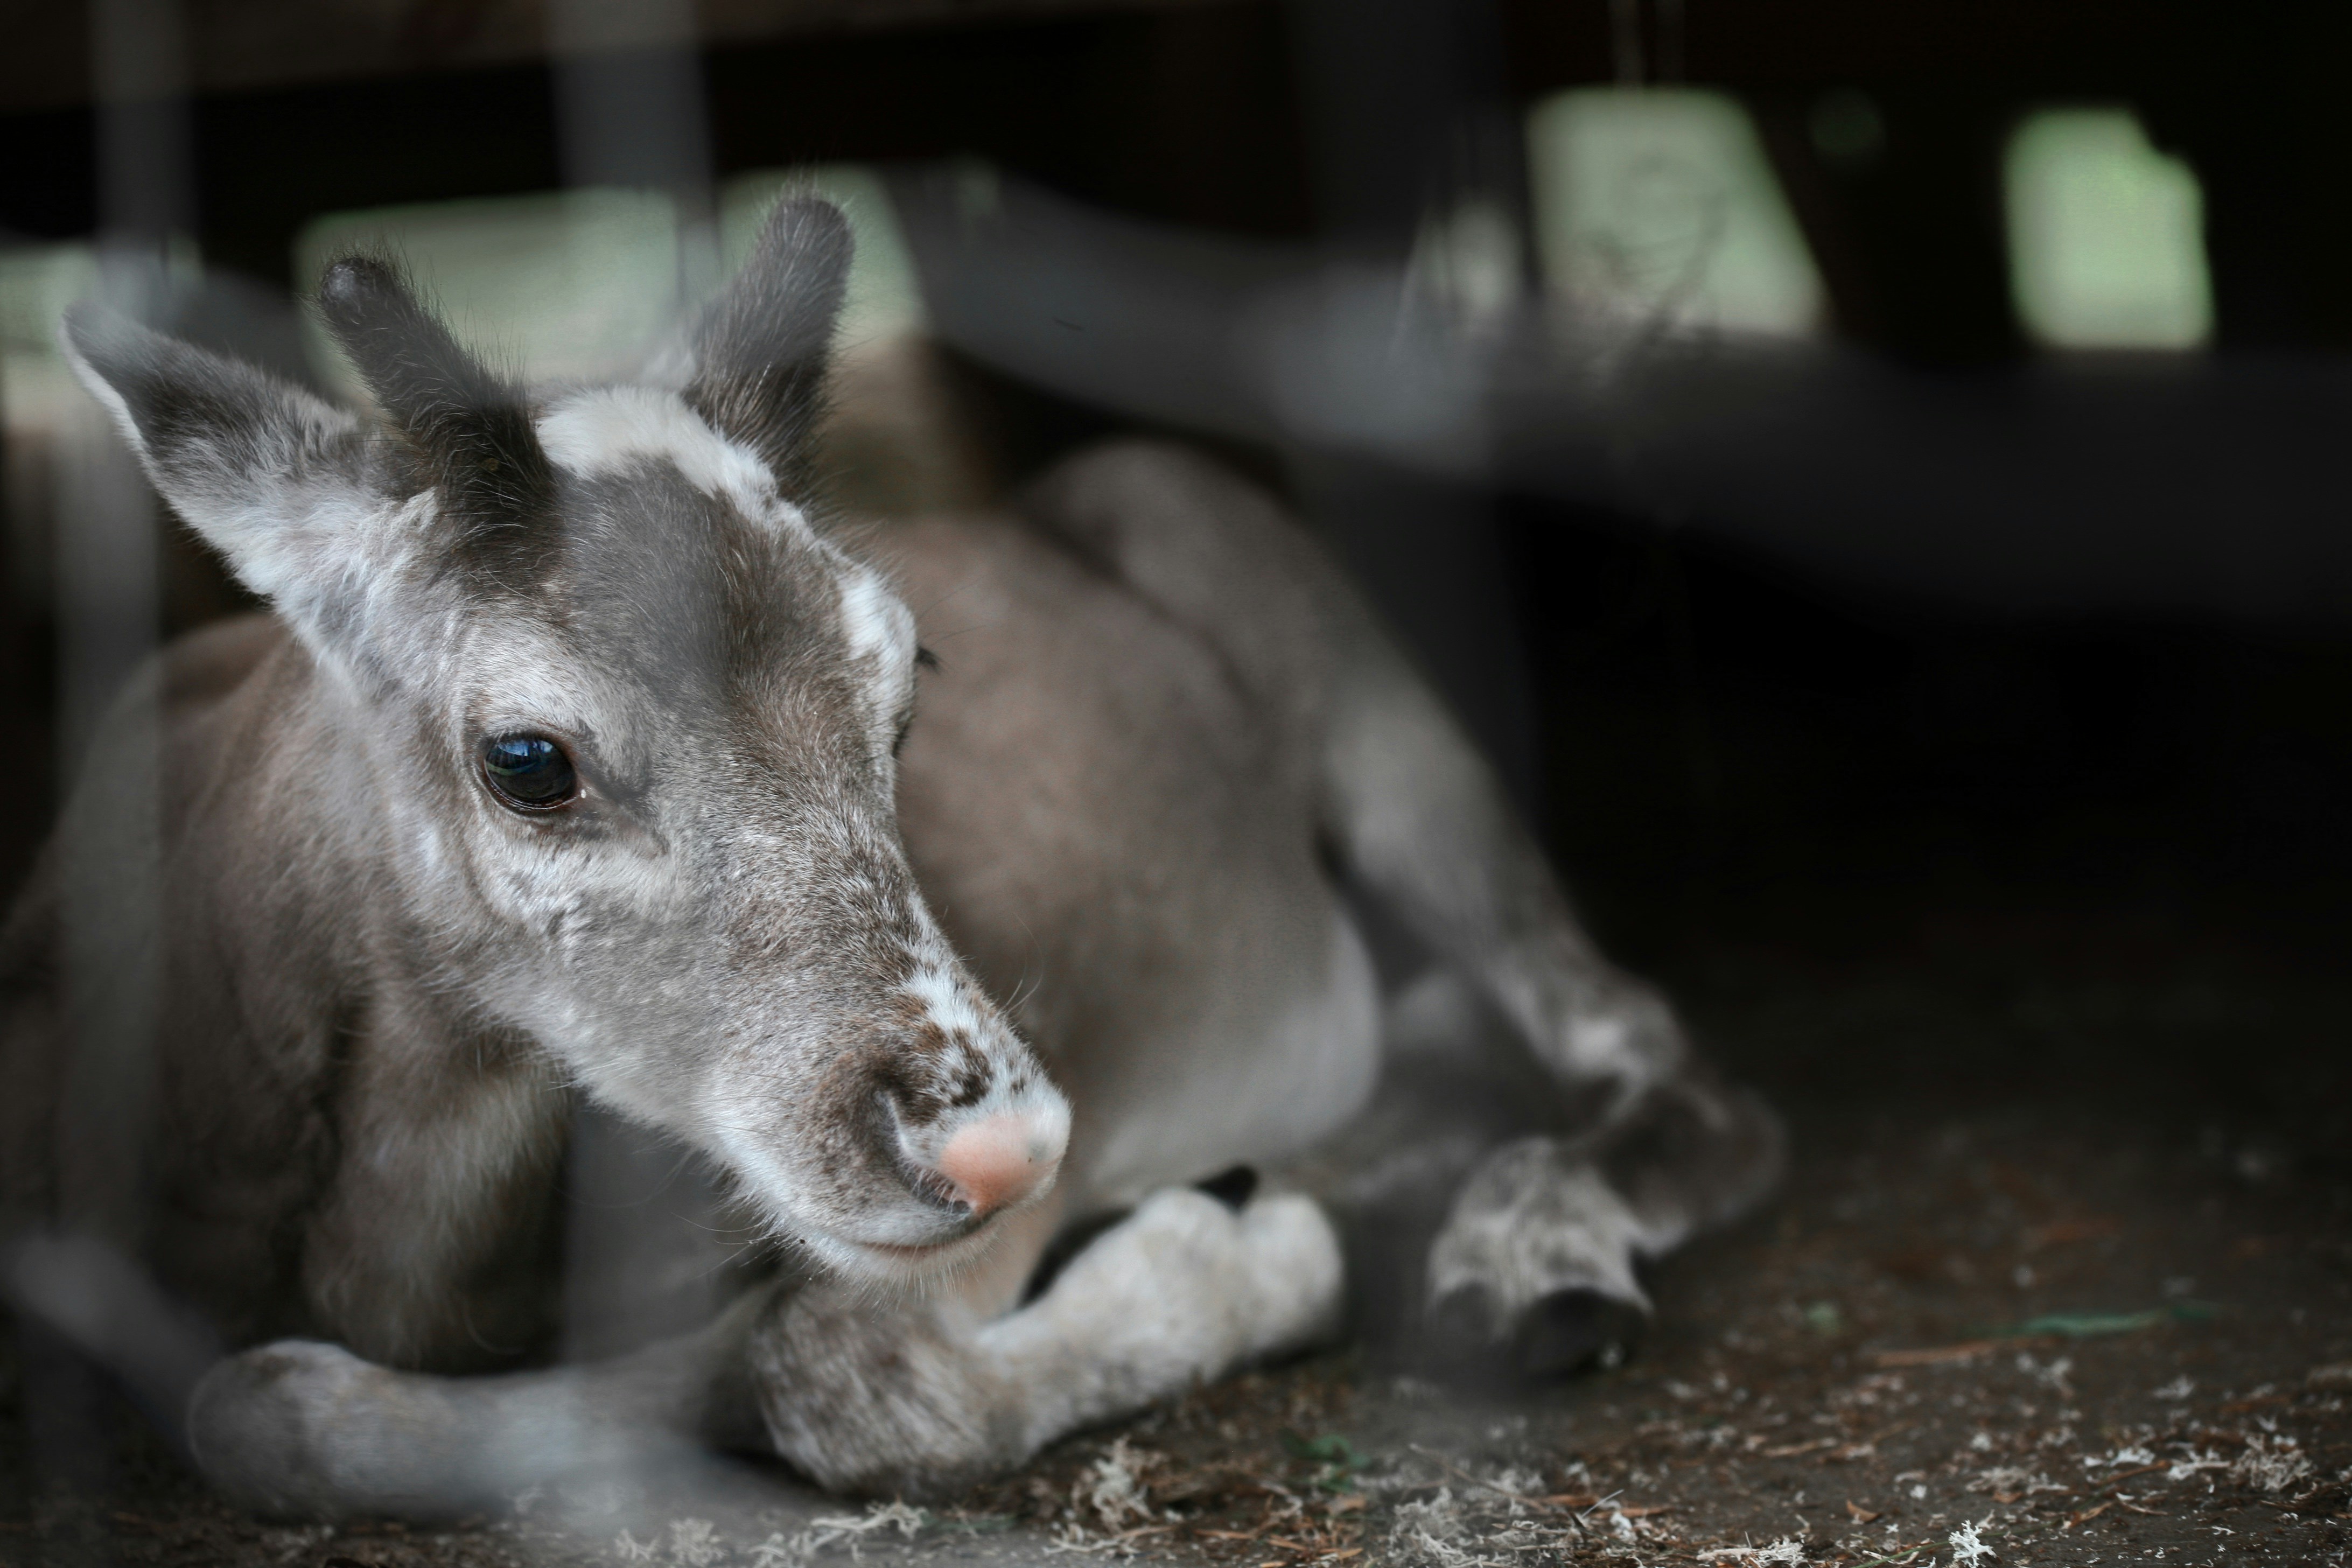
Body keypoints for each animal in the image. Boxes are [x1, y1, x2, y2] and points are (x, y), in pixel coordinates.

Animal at [0, 196, 1781, 1520]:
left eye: (906, 676)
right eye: (527, 759)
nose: (1002, 1145)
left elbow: (830, 1367)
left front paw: (1239, 1255)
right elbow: (248, 1408)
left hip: (1339, 658)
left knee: (1646, 1036)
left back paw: (1529, 1249)